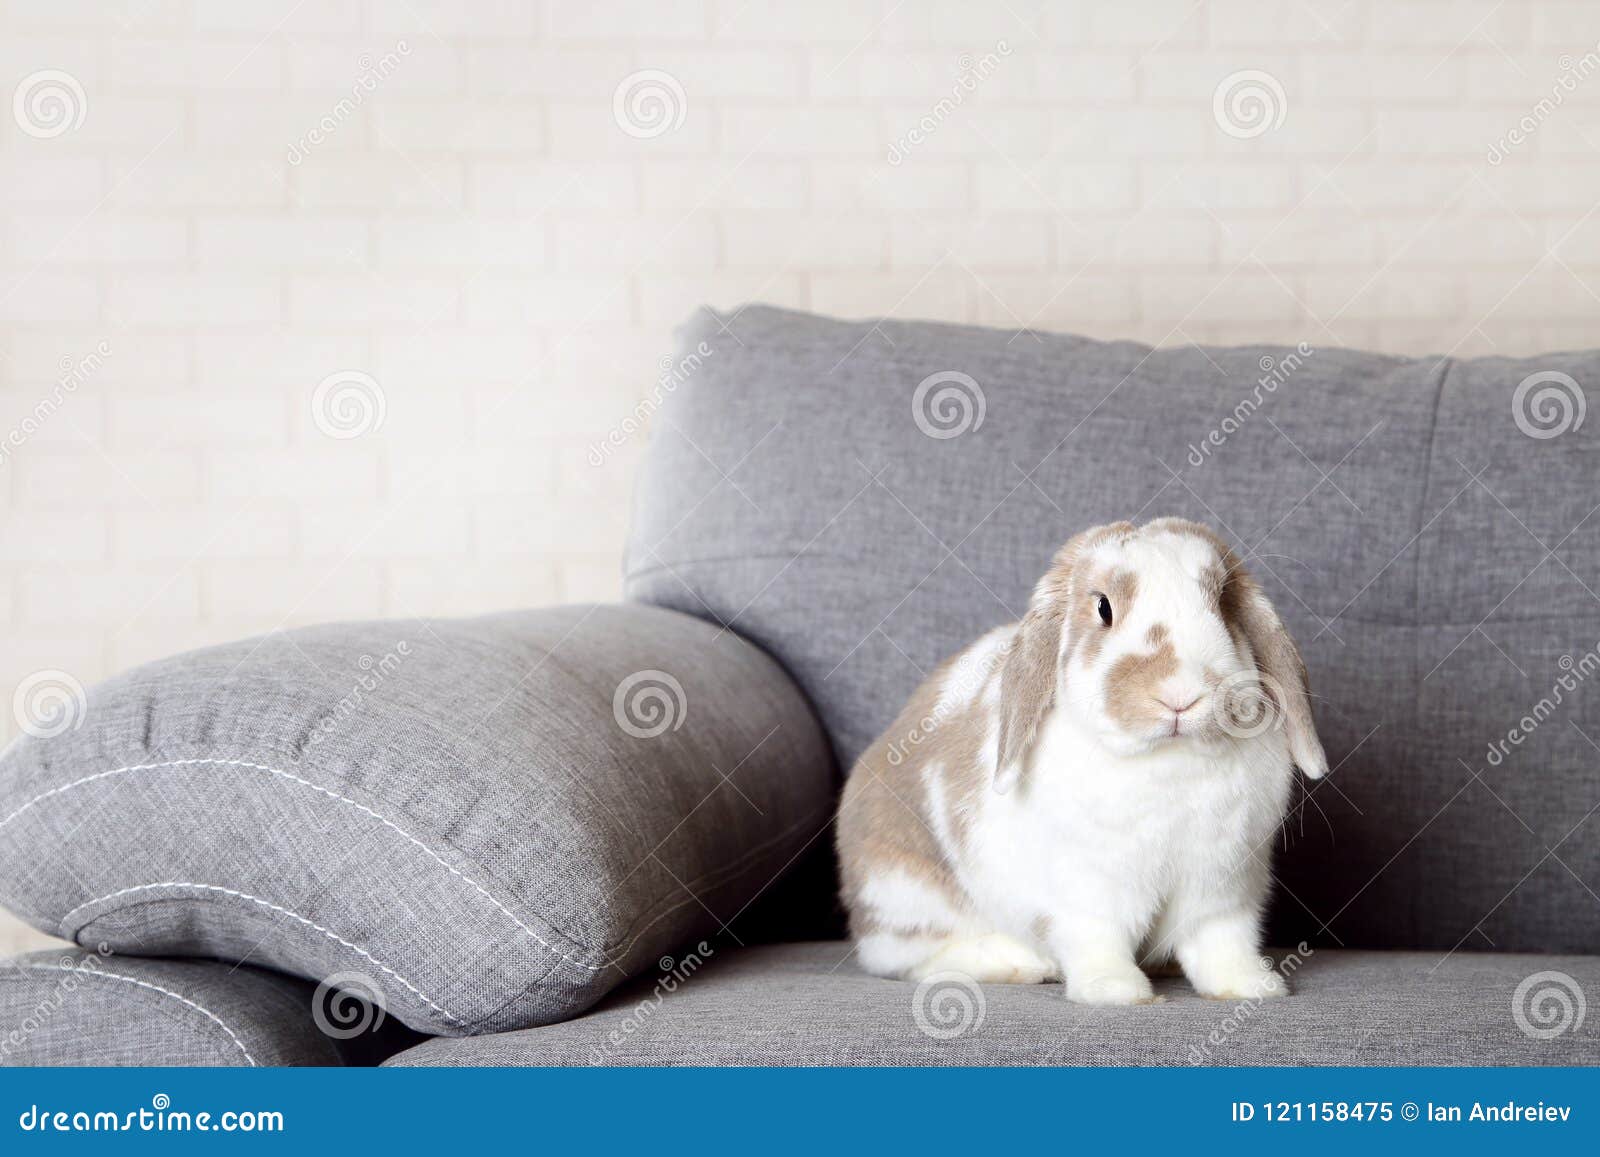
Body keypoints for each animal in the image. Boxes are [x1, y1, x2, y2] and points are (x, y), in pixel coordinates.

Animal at [836, 517, 1328, 1006]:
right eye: (1103, 608)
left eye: (1224, 604)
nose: (1180, 694)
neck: (1168, 760)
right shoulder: (1087, 894)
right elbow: (1098, 941)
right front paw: (1117, 991)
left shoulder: (1224, 892)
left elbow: (1222, 944)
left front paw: (1252, 986)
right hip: (904, 891)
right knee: (909, 958)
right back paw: (1020, 964)